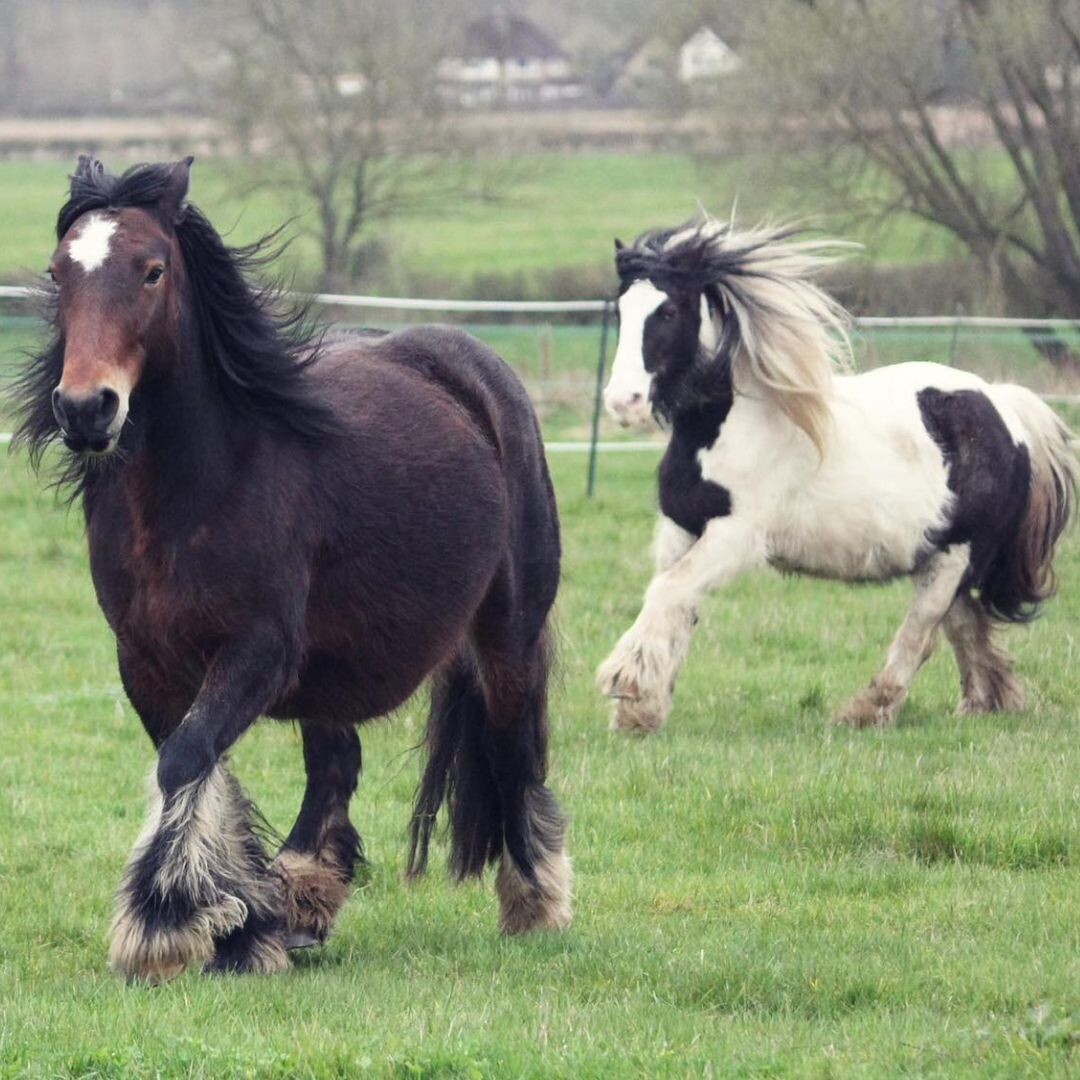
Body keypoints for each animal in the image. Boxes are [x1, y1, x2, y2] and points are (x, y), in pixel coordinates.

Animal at [14, 155, 571, 983]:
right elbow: (199, 766)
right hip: (332, 666)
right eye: (59, 271)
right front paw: (242, 924)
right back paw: (304, 899)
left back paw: (535, 900)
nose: (87, 409)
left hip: (508, 634)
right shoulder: (144, 660)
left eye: (151, 270)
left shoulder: (257, 651)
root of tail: (475, 370)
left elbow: (186, 759)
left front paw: (164, 926)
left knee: (513, 747)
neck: (198, 487)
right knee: (336, 764)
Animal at [596, 215, 1077, 734]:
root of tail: (1005, 408)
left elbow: (668, 592)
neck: (723, 429)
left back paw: (867, 711)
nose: (623, 402)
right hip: (938, 558)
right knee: (965, 626)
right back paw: (982, 704)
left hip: (955, 556)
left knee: (922, 633)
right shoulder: (681, 530)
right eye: (622, 310)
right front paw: (641, 711)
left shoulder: (735, 537)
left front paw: (625, 683)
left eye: (668, 312)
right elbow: (677, 606)